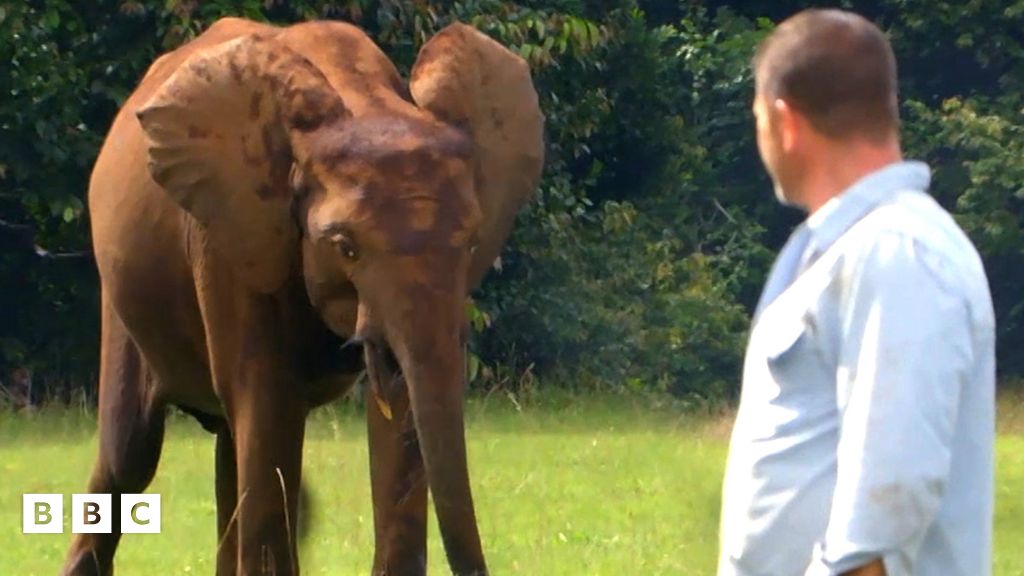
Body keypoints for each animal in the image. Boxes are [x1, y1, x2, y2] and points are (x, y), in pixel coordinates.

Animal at [62, 15, 544, 576]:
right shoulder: (230, 237)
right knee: (130, 454)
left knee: (228, 447)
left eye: (470, 242)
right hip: (122, 299)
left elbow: (398, 415)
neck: (362, 99)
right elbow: (270, 408)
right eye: (345, 247)